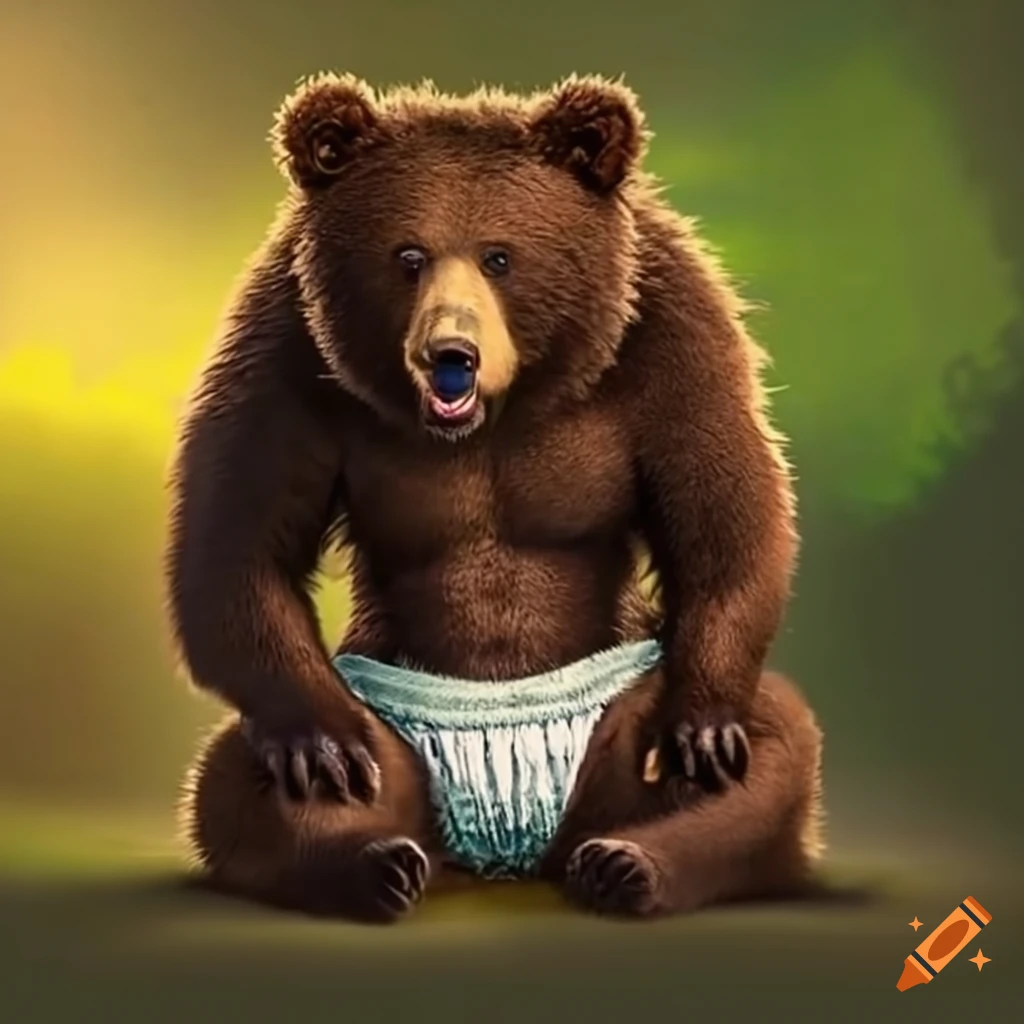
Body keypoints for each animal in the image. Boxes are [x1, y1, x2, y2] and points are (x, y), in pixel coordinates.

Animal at [166, 71, 824, 922]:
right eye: (408, 255)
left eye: (500, 257)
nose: (451, 352)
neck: (499, 411)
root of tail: (510, 857)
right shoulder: (285, 345)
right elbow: (238, 541)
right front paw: (324, 752)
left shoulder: (669, 331)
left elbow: (724, 511)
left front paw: (702, 736)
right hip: (396, 738)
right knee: (230, 776)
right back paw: (376, 863)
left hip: (616, 724)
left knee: (776, 742)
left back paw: (627, 863)